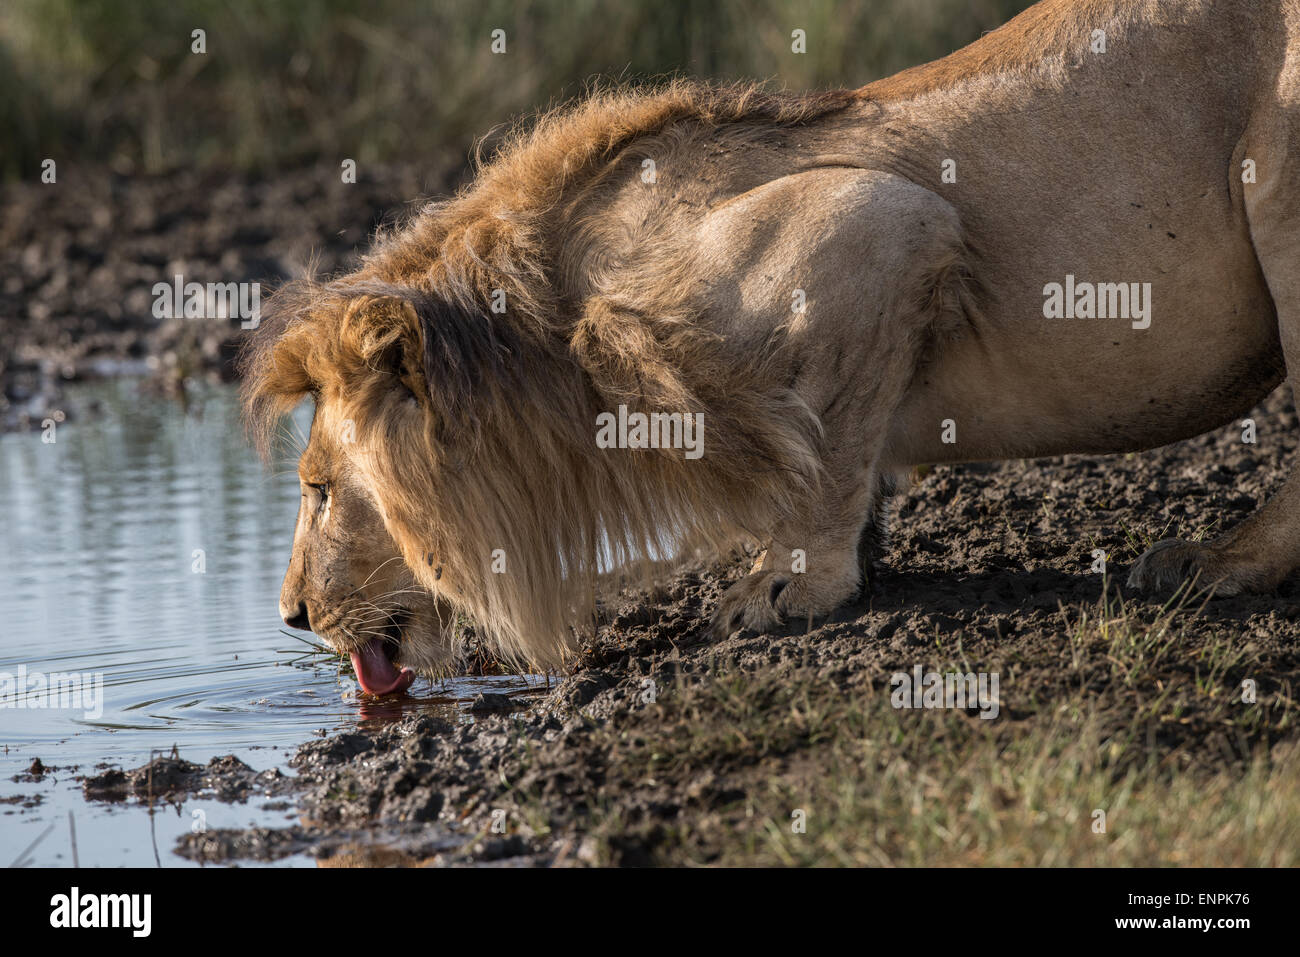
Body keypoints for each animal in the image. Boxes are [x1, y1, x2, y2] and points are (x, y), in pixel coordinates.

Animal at [243, 0, 1300, 691]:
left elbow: (828, 452)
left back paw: (1218, 560)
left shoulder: (881, 225)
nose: (290, 615)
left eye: (319, 488)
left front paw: (792, 582)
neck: (548, 327)